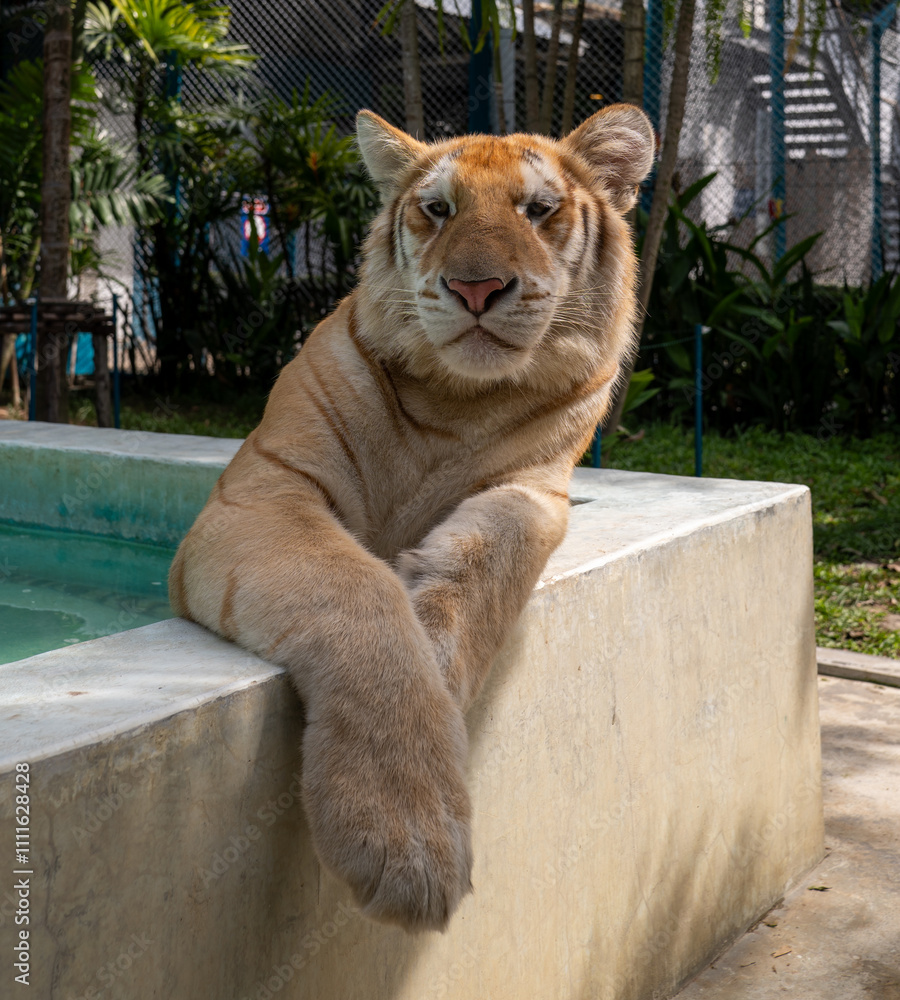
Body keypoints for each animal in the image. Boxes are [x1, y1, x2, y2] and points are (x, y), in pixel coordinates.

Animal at [168, 104, 654, 931]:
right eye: (438, 209)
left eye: (537, 209)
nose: (476, 287)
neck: (455, 398)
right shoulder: (265, 491)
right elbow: (357, 592)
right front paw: (406, 839)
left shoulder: (532, 493)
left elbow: (479, 570)